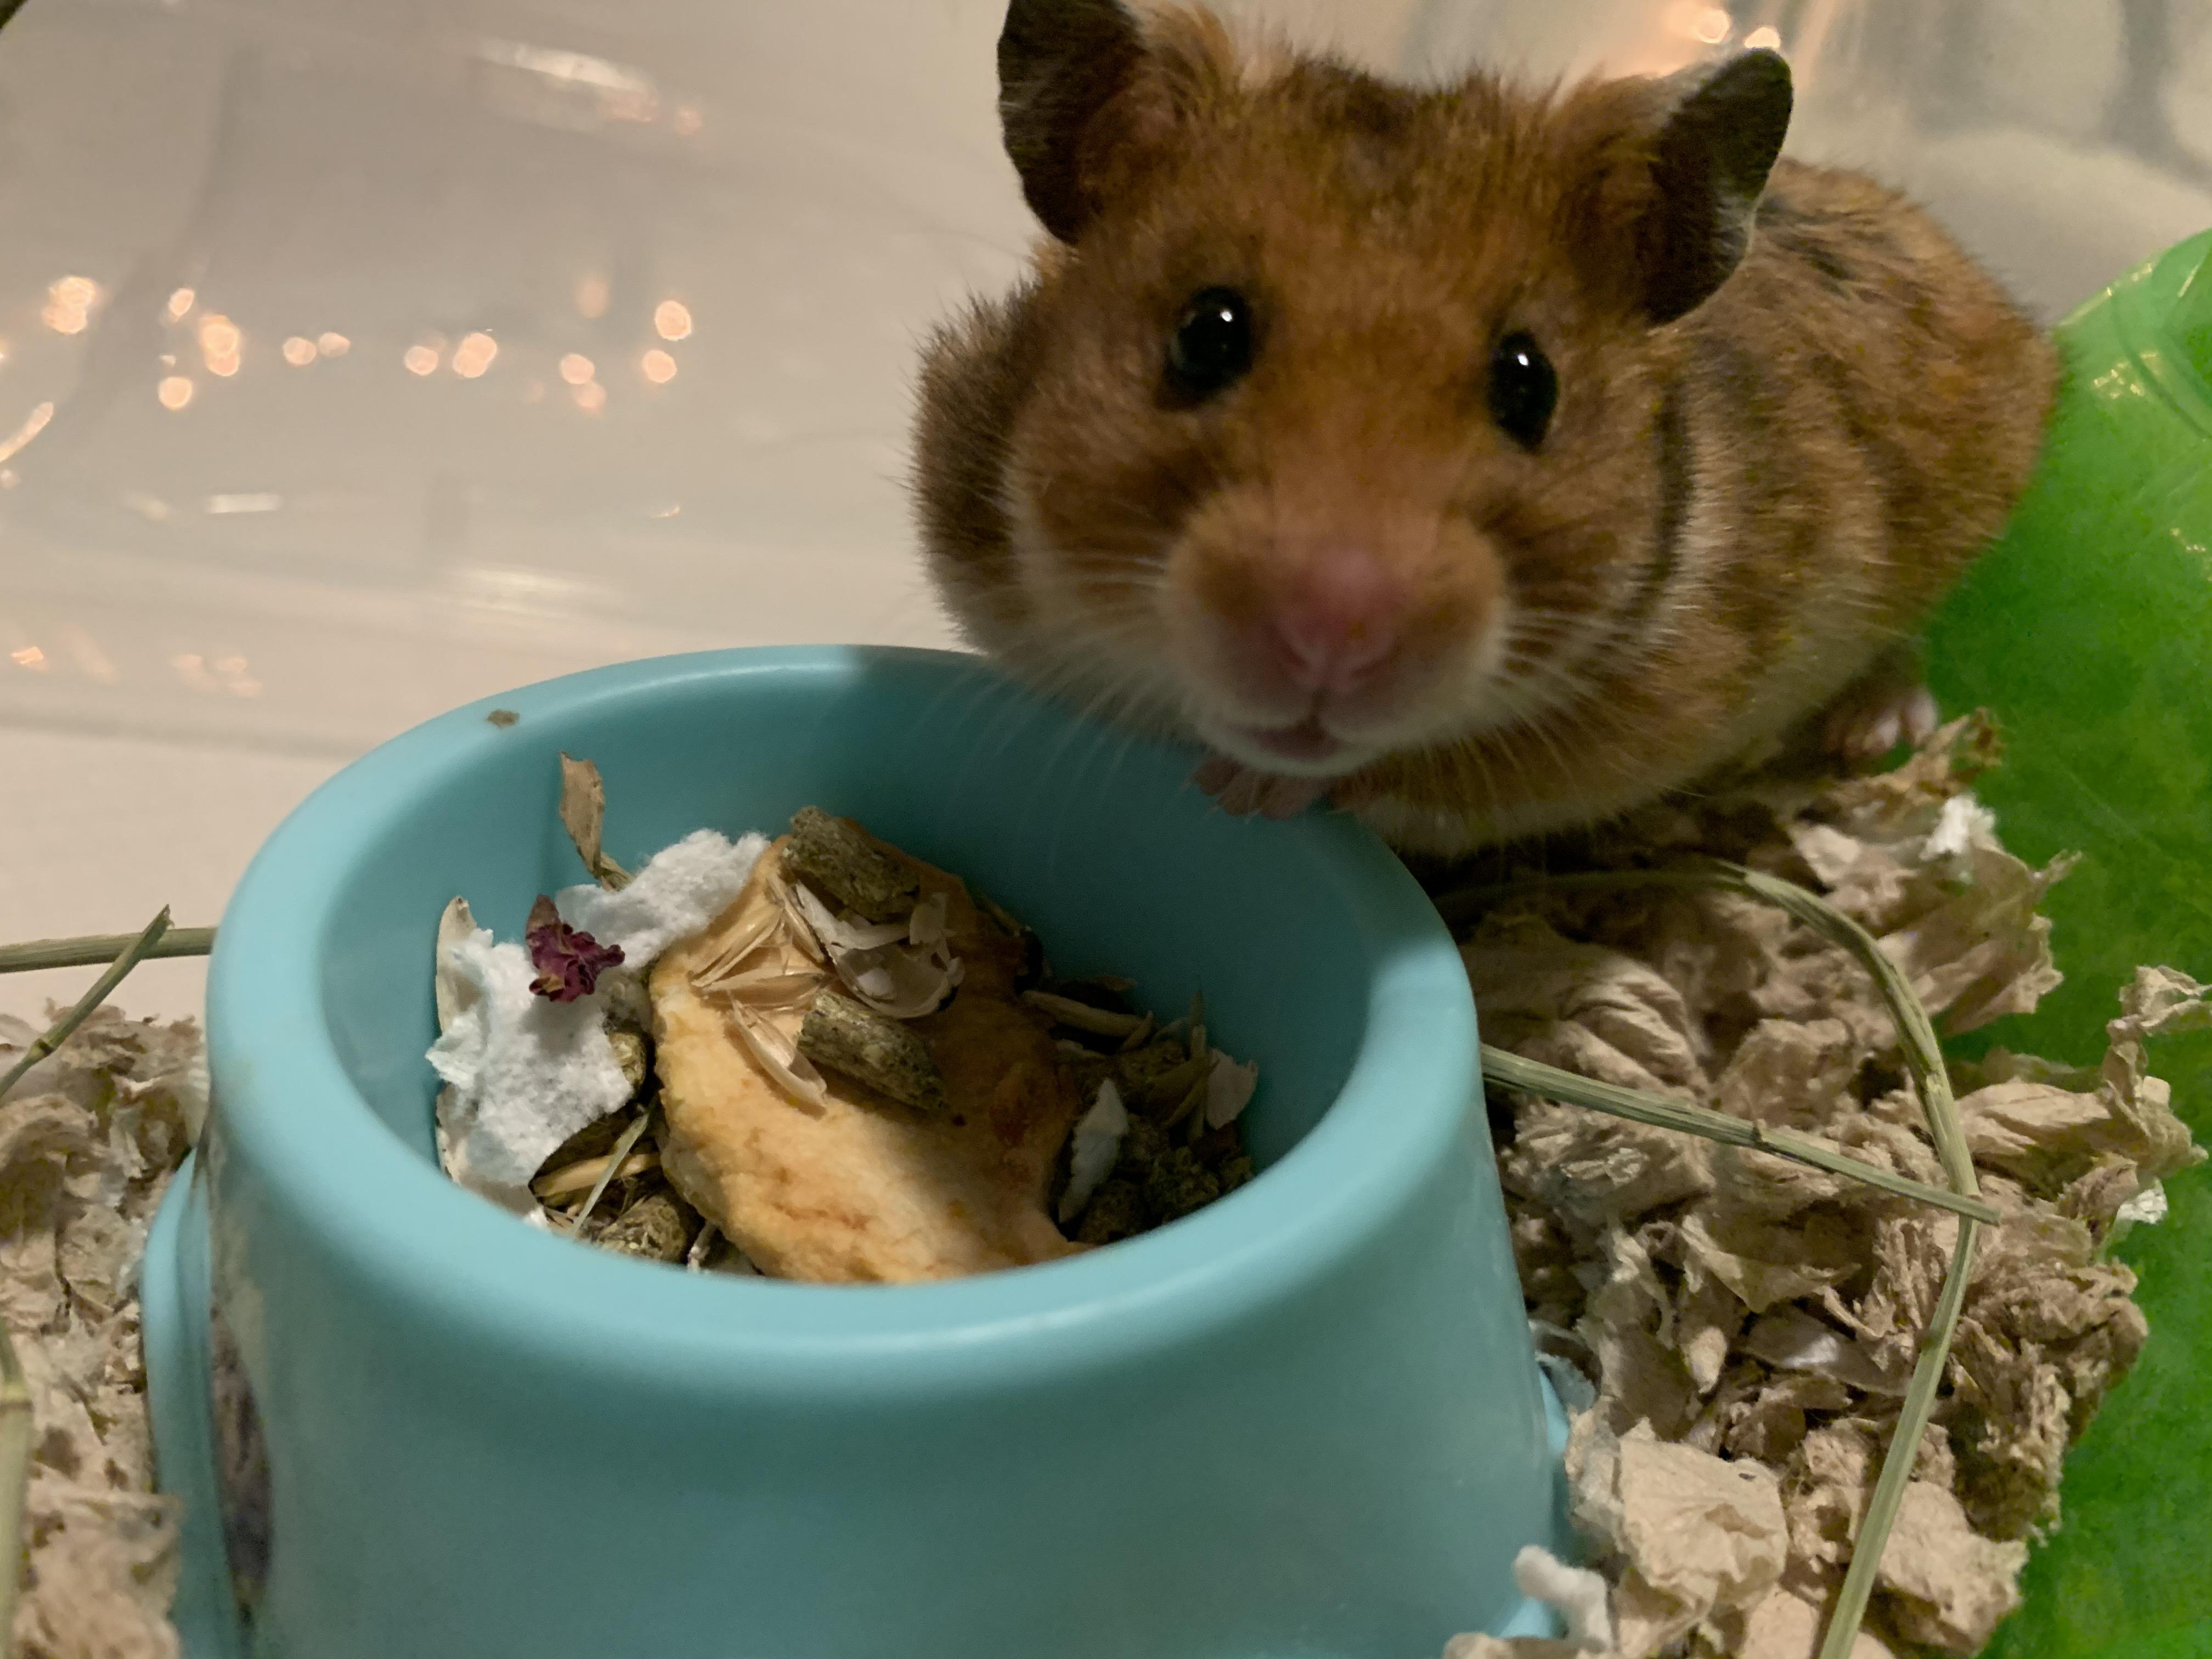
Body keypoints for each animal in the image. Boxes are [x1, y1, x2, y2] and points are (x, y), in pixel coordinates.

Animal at [911, 0, 2058, 857]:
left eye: (1528, 384)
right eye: (1205, 334)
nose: (1335, 633)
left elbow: (1404, 772)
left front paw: (1243, 789)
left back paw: (1873, 734)